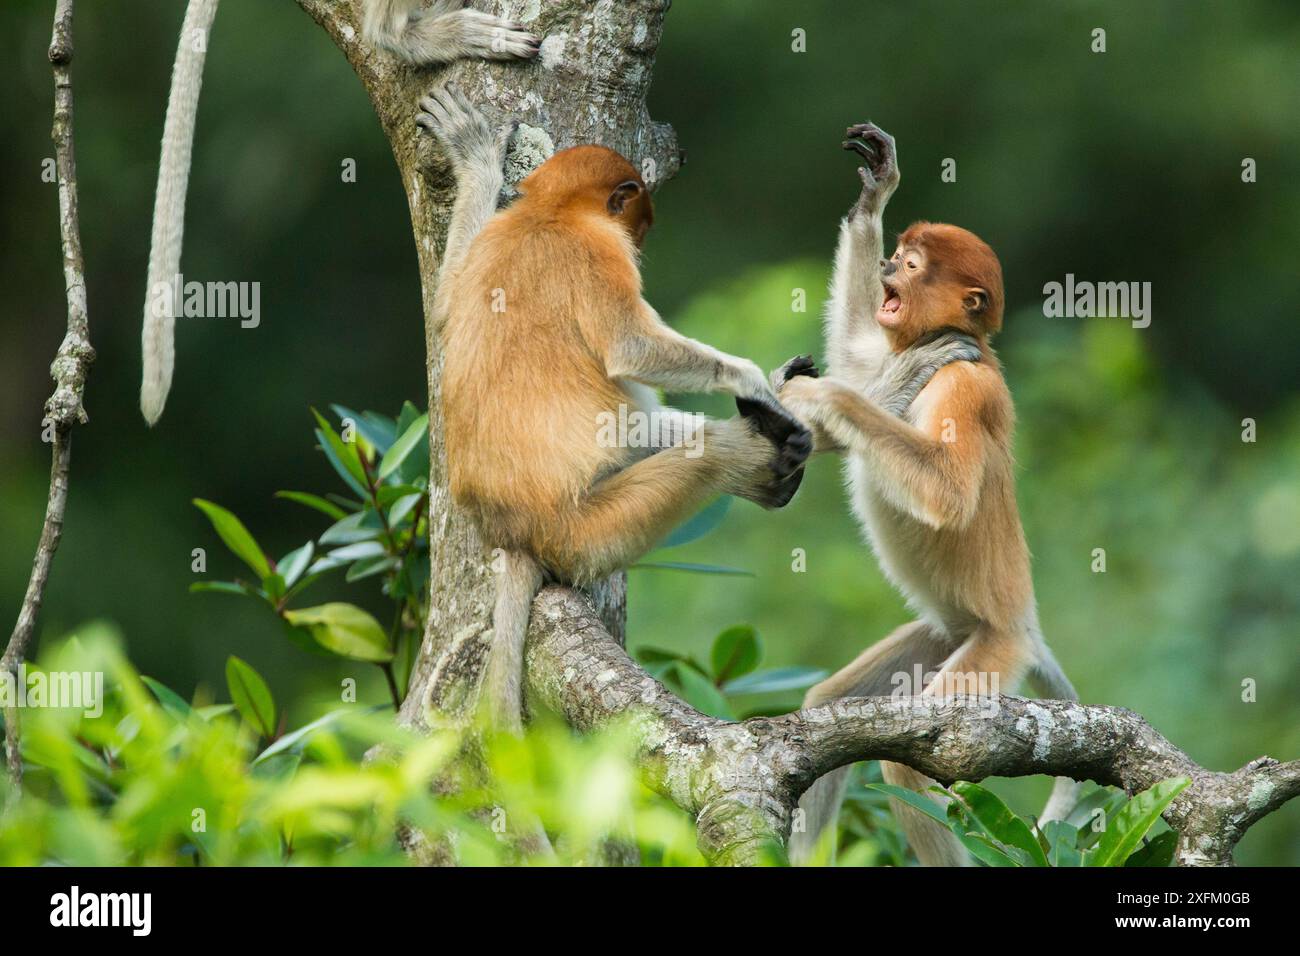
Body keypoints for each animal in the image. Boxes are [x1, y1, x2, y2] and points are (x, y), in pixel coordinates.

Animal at [416, 90, 981, 733]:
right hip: (585, 531)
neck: (548, 211)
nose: (645, 231)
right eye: (638, 211)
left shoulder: (495, 237)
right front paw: (754, 382)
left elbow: (444, 308)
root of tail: (513, 529)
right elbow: (631, 346)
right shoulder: (598, 252)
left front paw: (472, 155)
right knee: (705, 452)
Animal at [777, 123, 1081, 866]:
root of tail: (1022, 624)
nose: (887, 268)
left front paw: (822, 393)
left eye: (912, 266)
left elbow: (944, 493)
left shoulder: (964, 388)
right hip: (942, 638)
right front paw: (873, 192)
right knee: (831, 707)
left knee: (915, 757)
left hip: (989, 655)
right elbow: (861, 362)